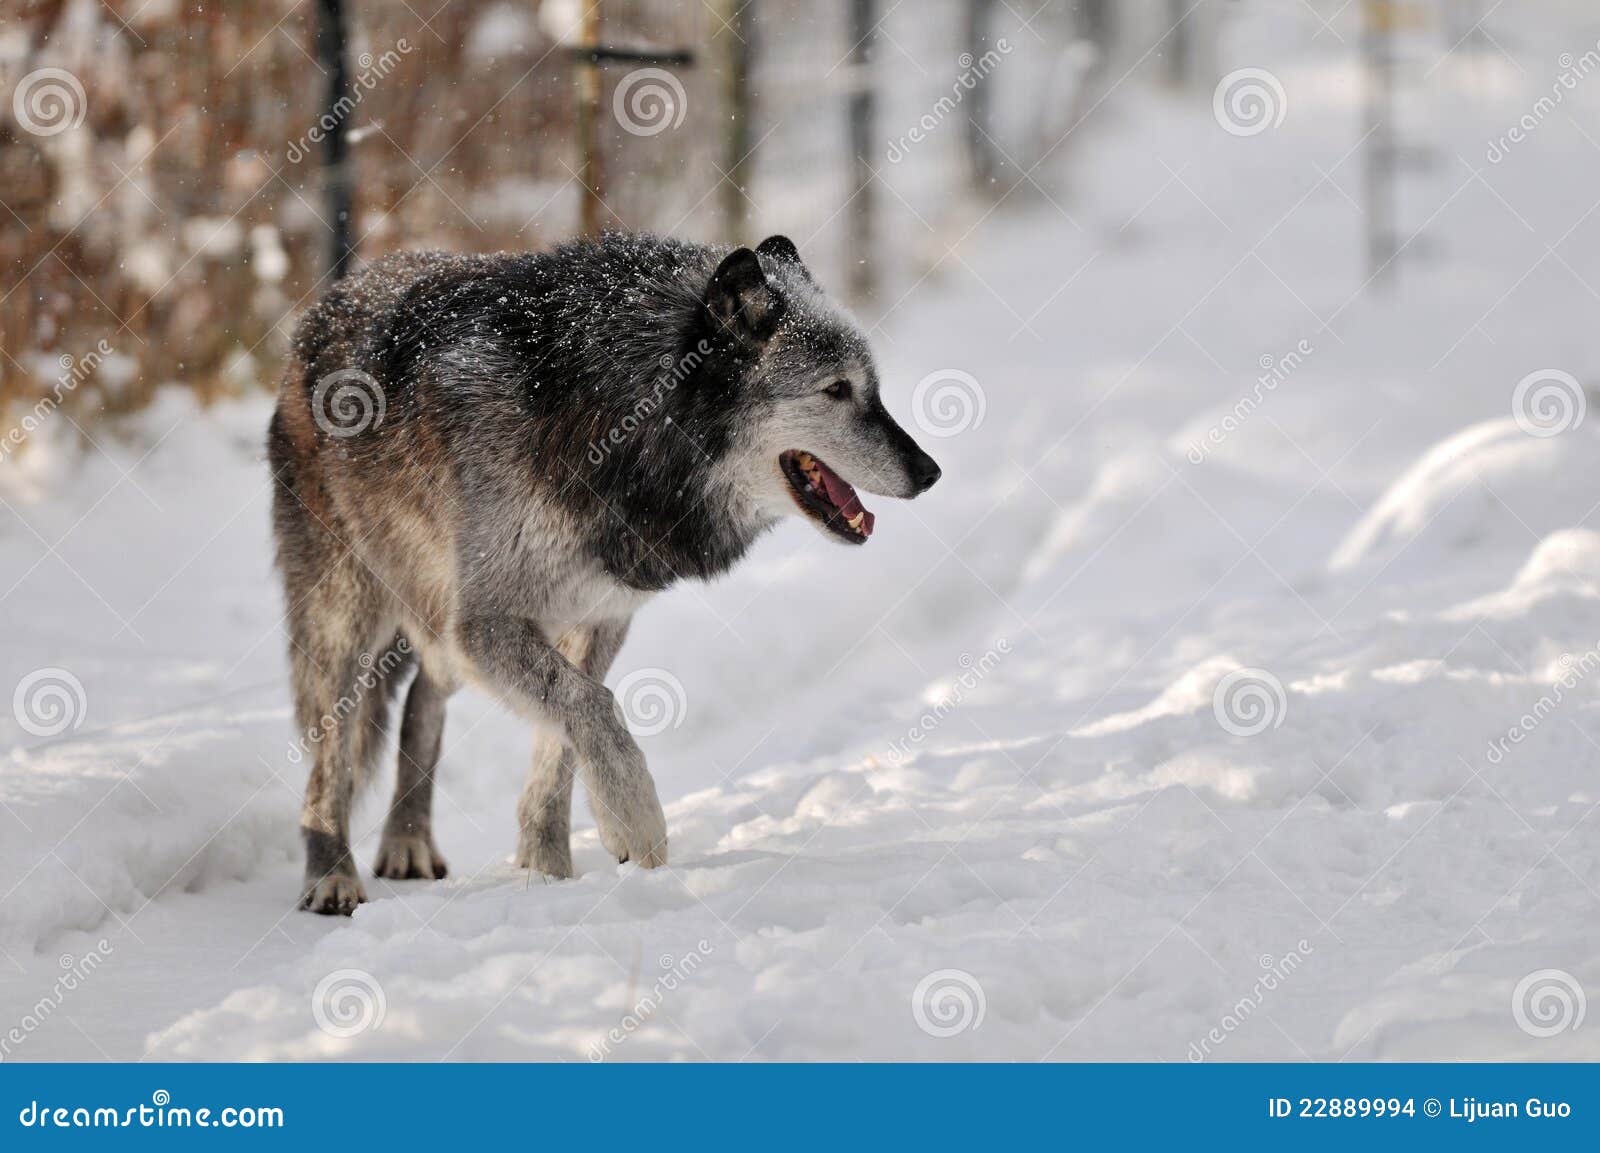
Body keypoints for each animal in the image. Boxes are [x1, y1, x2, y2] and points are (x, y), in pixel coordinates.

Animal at [267, 232, 941, 914]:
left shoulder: (596, 619)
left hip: (436, 631)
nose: (930, 471)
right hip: (349, 623)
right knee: (331, 764)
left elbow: (561, 749)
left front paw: (547, 874)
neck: (619, 421)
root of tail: (336, 297)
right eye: (836, 390)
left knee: (421, 701)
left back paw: (407, 843)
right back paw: (331, 876)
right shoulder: (484, 624)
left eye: (872, 388)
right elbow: (592, 707)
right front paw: (636, 821)